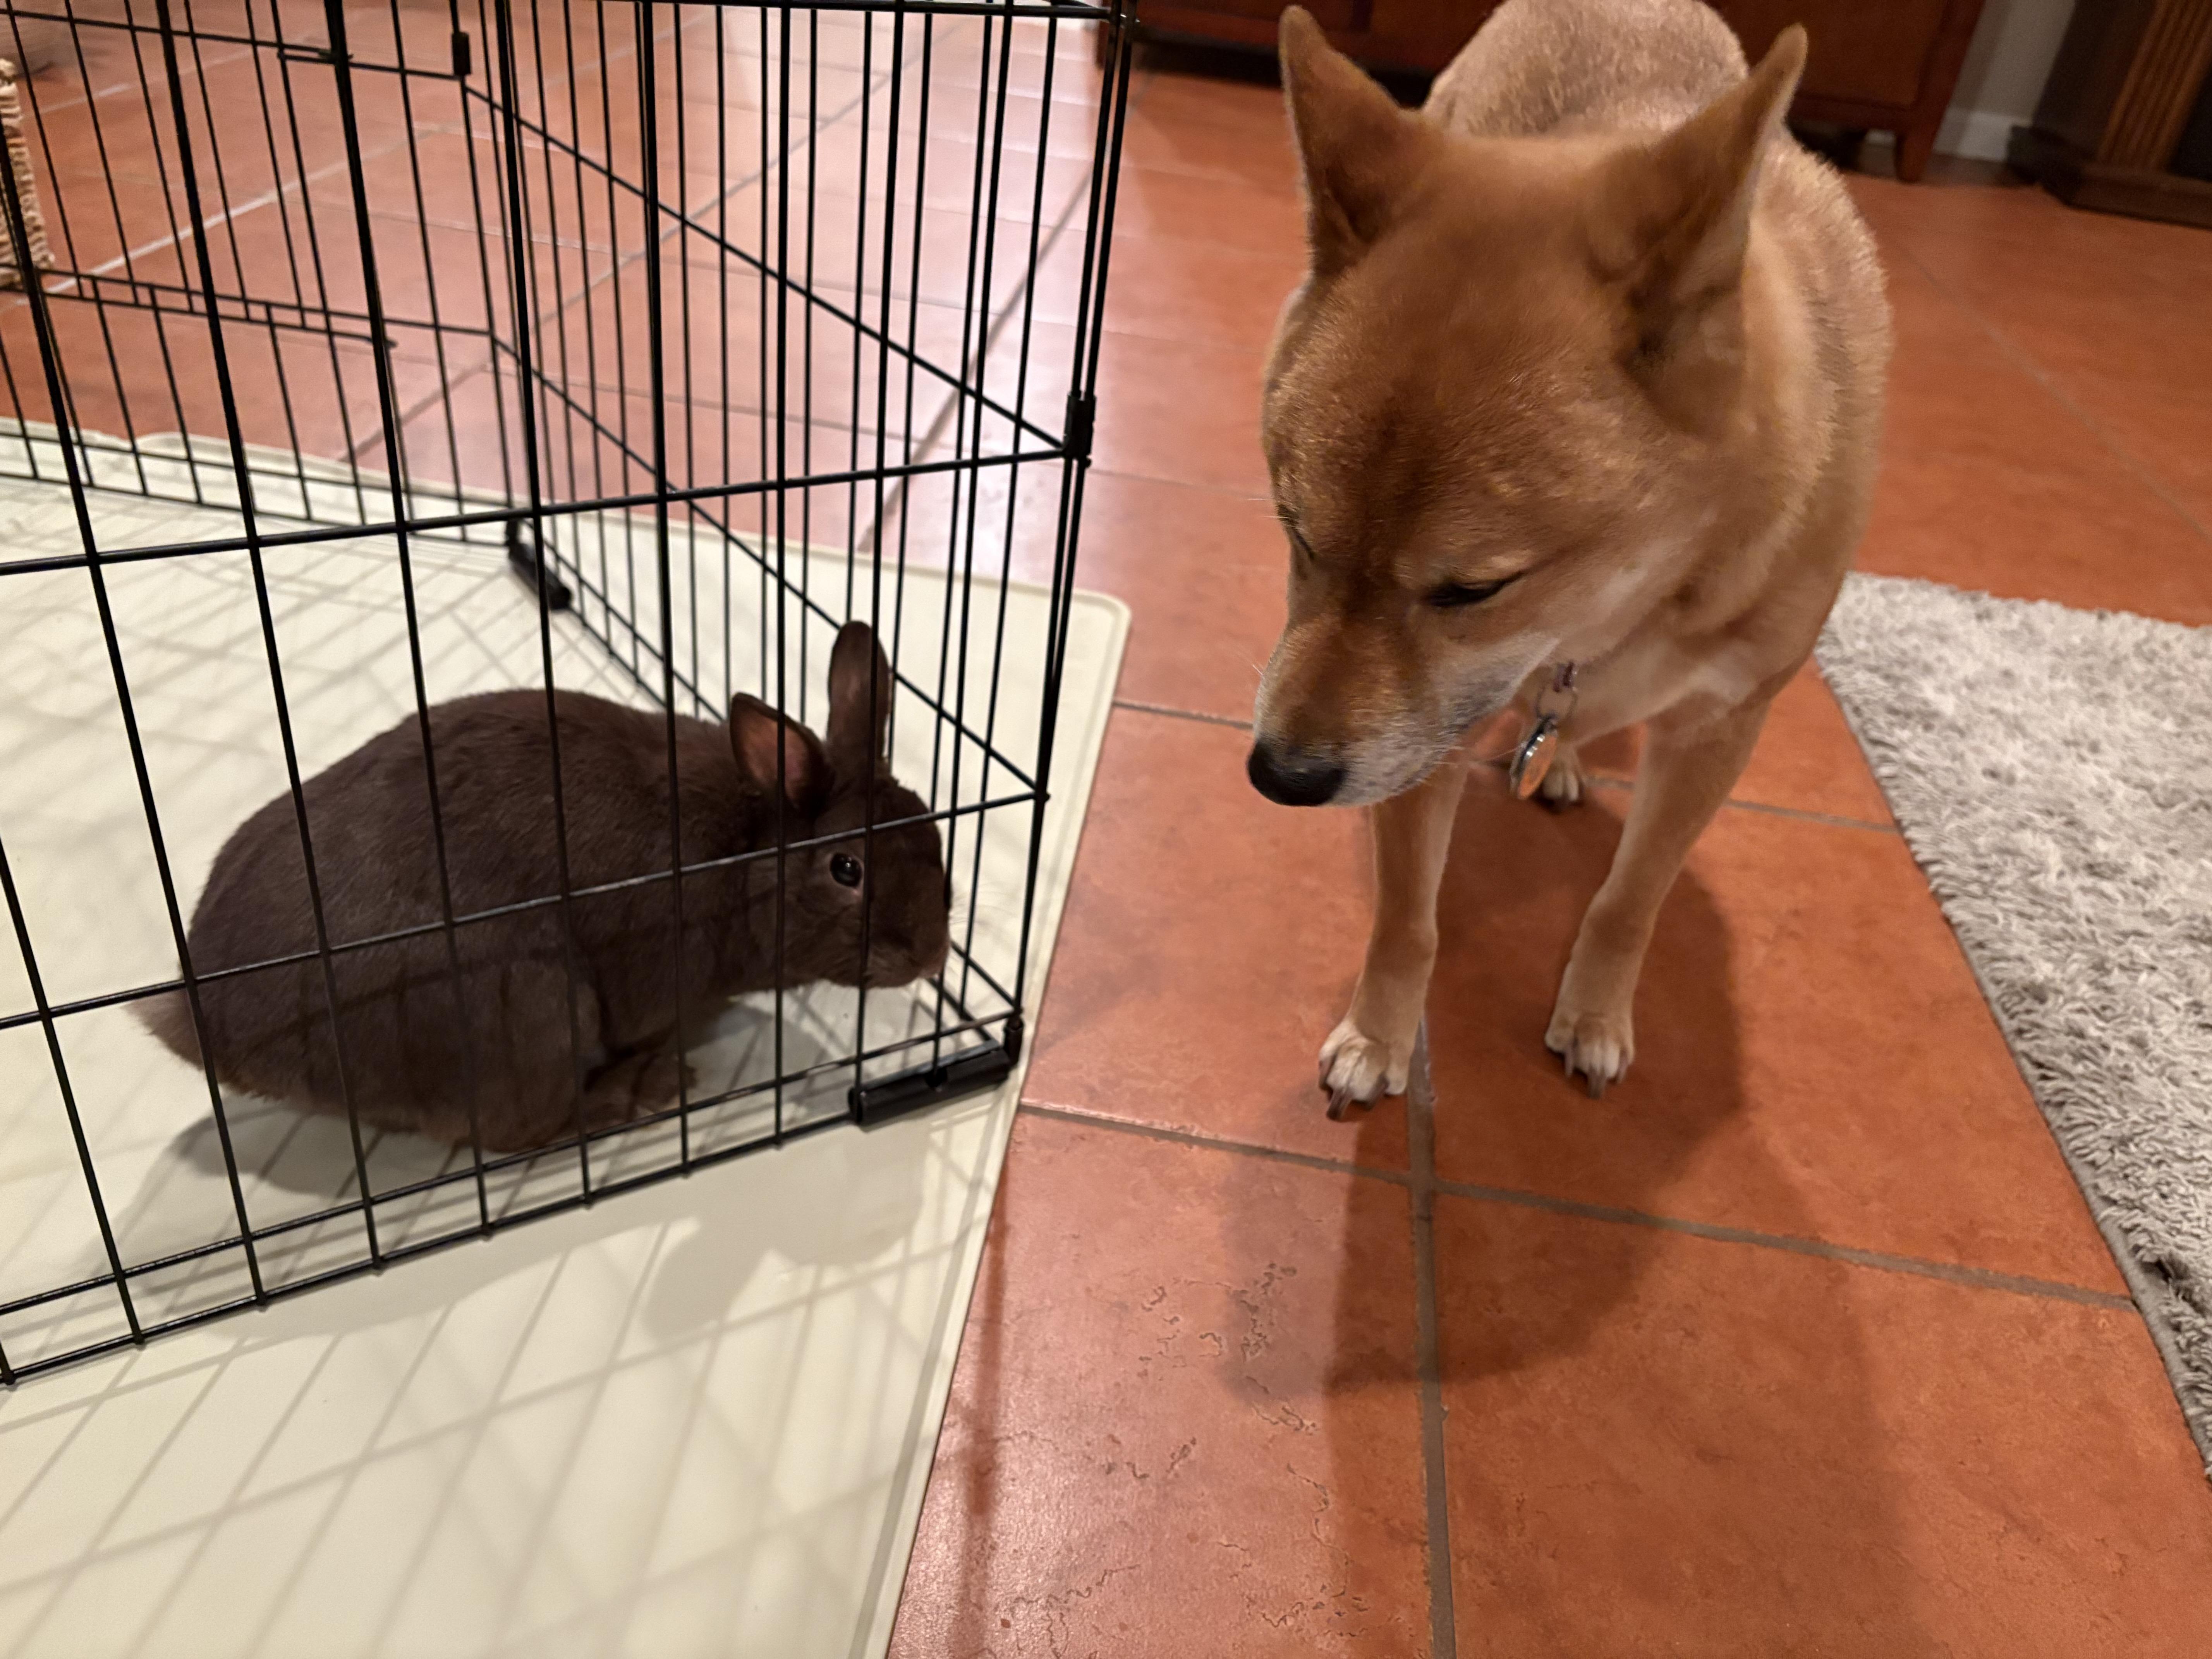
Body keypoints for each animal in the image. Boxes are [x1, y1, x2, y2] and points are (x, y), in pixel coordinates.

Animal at [141, 621, 951, 1153]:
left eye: (931, 827)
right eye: (846, 869)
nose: (933, 956)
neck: (747, 848)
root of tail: (208, 1029)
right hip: (531, 1008)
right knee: (512, 1133)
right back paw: (642, 1087)